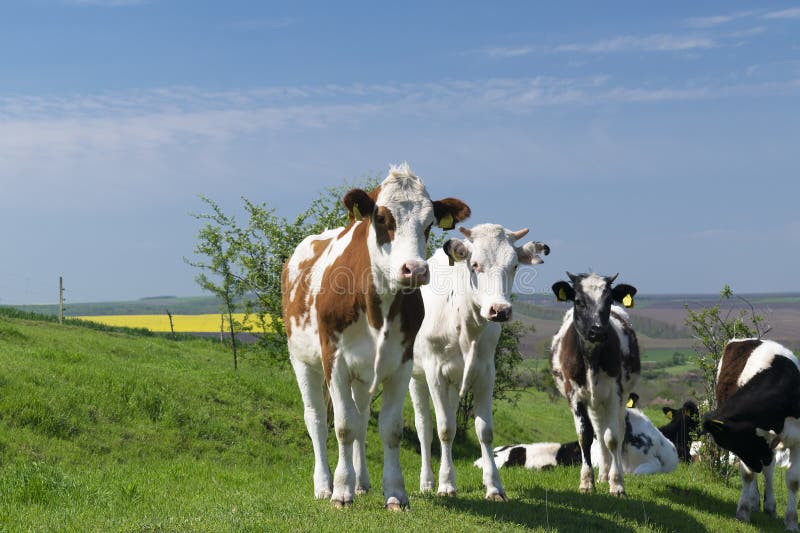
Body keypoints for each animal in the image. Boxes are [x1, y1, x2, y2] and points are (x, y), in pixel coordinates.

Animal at [281, 164, 470, 510]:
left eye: (429, 224)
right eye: (382, 218)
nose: (415, 269)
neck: (375, 307)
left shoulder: (401, 363)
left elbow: (388, 429)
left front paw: (394, 492)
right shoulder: (335, 360)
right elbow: (343, 426)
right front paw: (341, 491)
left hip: (363, 373)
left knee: (362, 418)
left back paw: (362, 482)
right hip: (302, 359)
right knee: (317, 420)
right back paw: (324, 484)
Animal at [409, 223, 550, 500]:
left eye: (514, 265)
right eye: (474, 264)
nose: (500, 309)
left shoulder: (486, 372)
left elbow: (484, 431)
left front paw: (494, 486)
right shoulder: (435, 372)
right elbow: (444, 429)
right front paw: (446, 484)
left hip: (455, 382)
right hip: (415, 377)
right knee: (425, 427)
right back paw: (428, 482)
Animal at [550, 272, 640, 496]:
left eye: (608, 301)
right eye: (578, 301)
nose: (597, 331)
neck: (591, 358)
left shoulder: (615, 393)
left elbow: (613, 437)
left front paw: (617, 483)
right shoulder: (574, 395)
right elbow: (585, 437)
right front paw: (587, 481)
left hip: (616, 398)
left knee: (615, 431)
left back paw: (611, 474)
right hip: (593, 402)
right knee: (598, 432)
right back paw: (603, 474)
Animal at [703, 338, 800, 530]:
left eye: (744, 440)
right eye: (733, 445)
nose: (757, 464)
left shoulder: (796, 438)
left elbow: (793, 481)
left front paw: (792, 522)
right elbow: (747, 475)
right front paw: (743, 511)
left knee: (768, 470)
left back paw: (769, 506)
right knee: (764, 470)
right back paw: (756, 501)